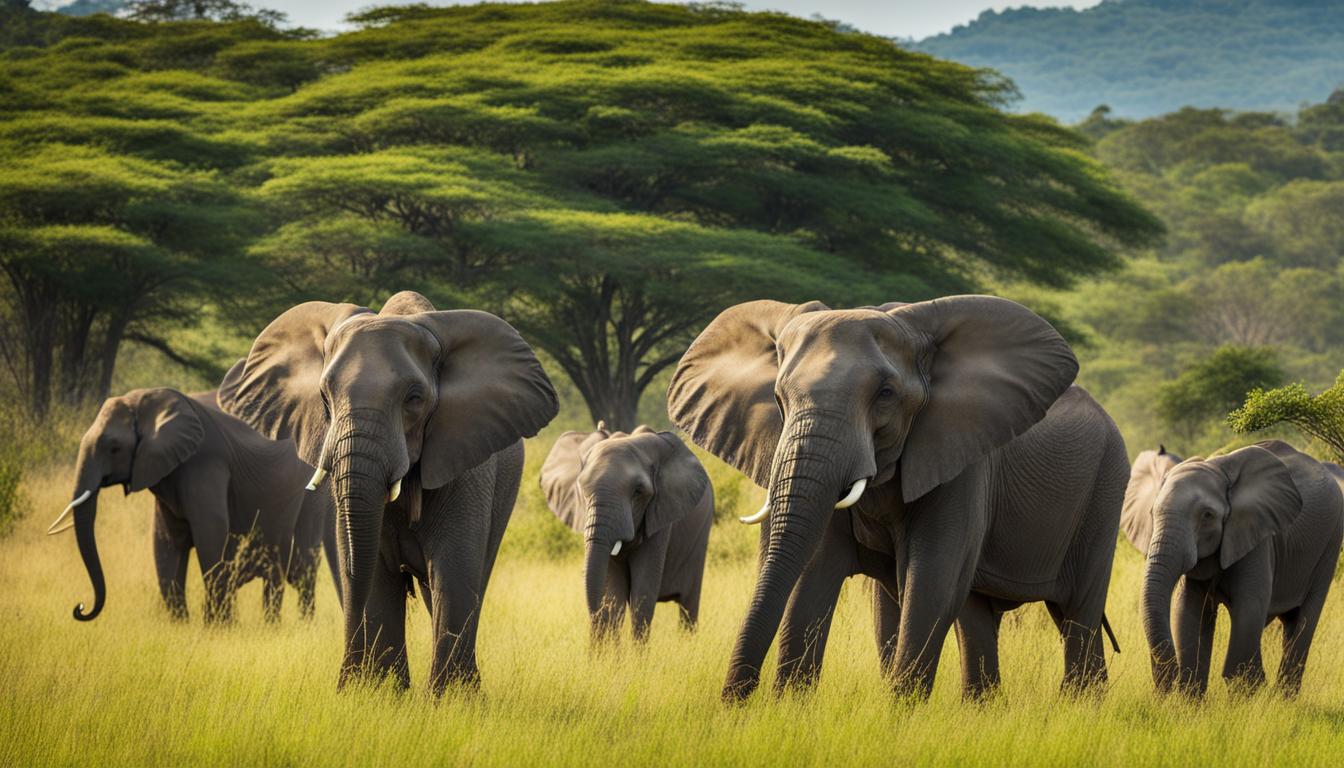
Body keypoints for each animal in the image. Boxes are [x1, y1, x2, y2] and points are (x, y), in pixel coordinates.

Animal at [49, 388, 340, 623]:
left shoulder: (206, 466)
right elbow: (166, 546)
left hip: (309, 498)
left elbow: (210, 538)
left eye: (114, 448)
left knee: (293, 565)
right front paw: (182, 626)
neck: (148, 404)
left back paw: (290, 626)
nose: (80, 608)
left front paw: (217, 629)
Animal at [217, 290, 557, 693]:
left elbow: (453, 570)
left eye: (414, 399)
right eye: (324, 397)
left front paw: (449, 700)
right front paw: (385, 695)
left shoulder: (467, 464)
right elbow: (375, 573)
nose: (343, 682)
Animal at [540, 422, 713, 642]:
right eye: (582, 489)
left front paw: (637, 653)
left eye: (638, 492)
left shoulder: (661, 515)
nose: (593, 645)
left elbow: (643, 593)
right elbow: (613, 596)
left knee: (688, 605)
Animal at [667, 296, 1129, 701]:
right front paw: (789, 710)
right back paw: (985, 707)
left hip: (1106, 490)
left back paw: (1080, 704)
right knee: (979, 613)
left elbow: (933, 580)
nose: (734, 702)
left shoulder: (960, 460)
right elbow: (810, 573)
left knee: (1078, 611)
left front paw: (899, 714)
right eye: (779, 399)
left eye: (885, 394)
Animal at [1123, 440, 1343, 696]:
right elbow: (1187, 608)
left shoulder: (1256, 539)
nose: (1164, 685)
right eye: (1152, 513)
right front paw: (1189, 700)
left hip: (1330, 542)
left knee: (1304, 620)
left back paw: (1282, 699)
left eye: (1207, 515)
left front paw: (1245, 698)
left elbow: (1248, 606)